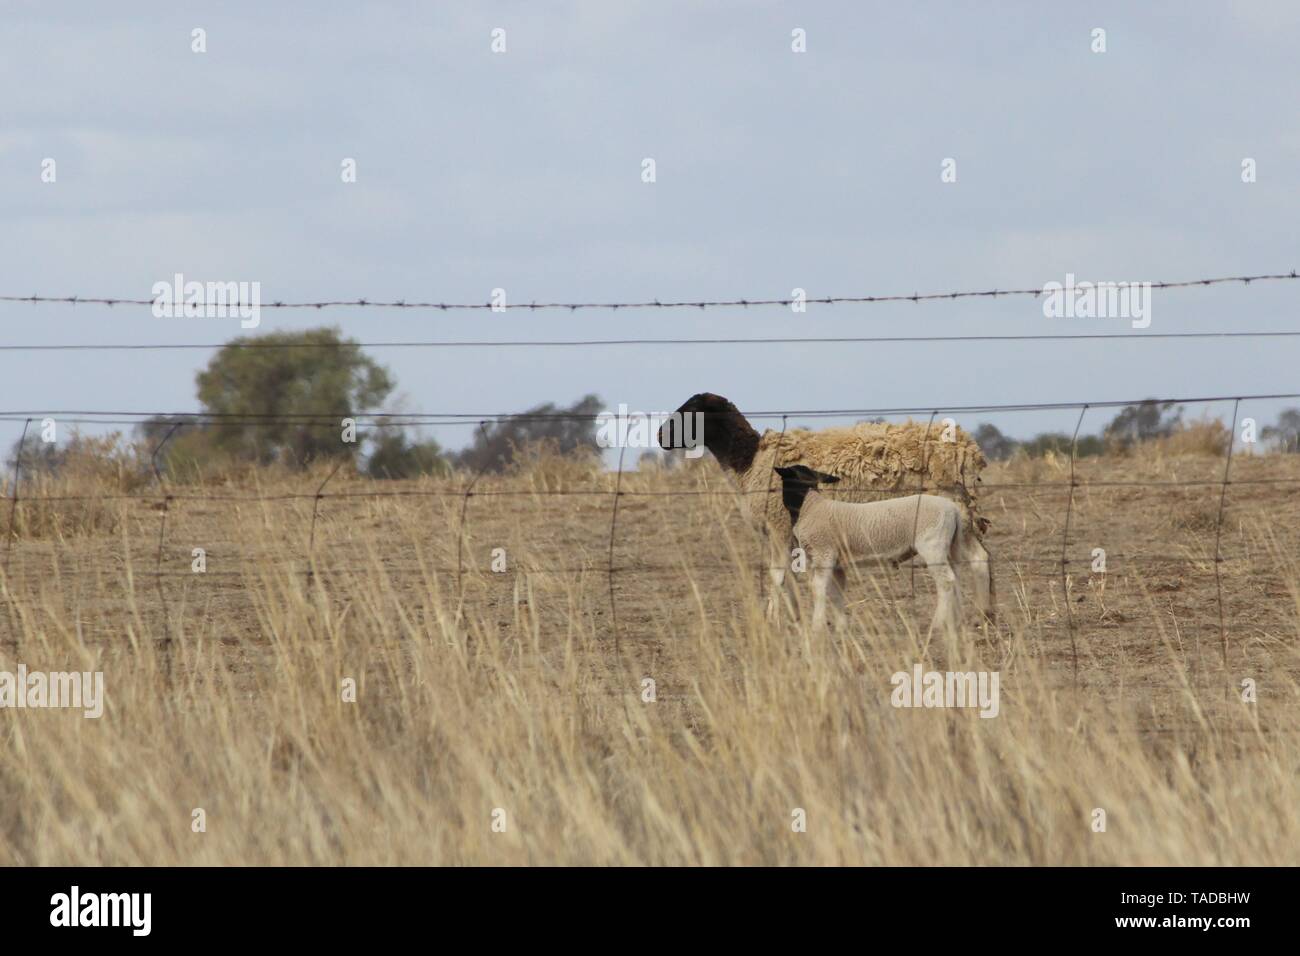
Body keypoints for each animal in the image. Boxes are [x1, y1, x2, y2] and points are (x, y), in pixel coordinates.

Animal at [657, 392, 988, 620]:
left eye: (691, 411)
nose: (660, 436)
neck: (749, 461)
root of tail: (968, 449)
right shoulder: (786, 532)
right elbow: (788, 578)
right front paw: (793, 619)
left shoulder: (778, 525)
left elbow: (777, 576)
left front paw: (774, 621)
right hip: (960, 516)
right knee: (975, 560)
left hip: (952, 510)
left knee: (976, 560)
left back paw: (980, 617)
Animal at [774, 464, 994, 634]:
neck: (809, 506)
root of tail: (953, 510)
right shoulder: (837, 563)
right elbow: (837, 593)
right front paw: (841, 628)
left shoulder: (823, 554)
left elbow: (818, 589)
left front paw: (817, 627)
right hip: (951, 545)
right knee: (957, 575)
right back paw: (956, 621)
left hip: (932, 545)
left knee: (946, 581)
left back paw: (938, 624)